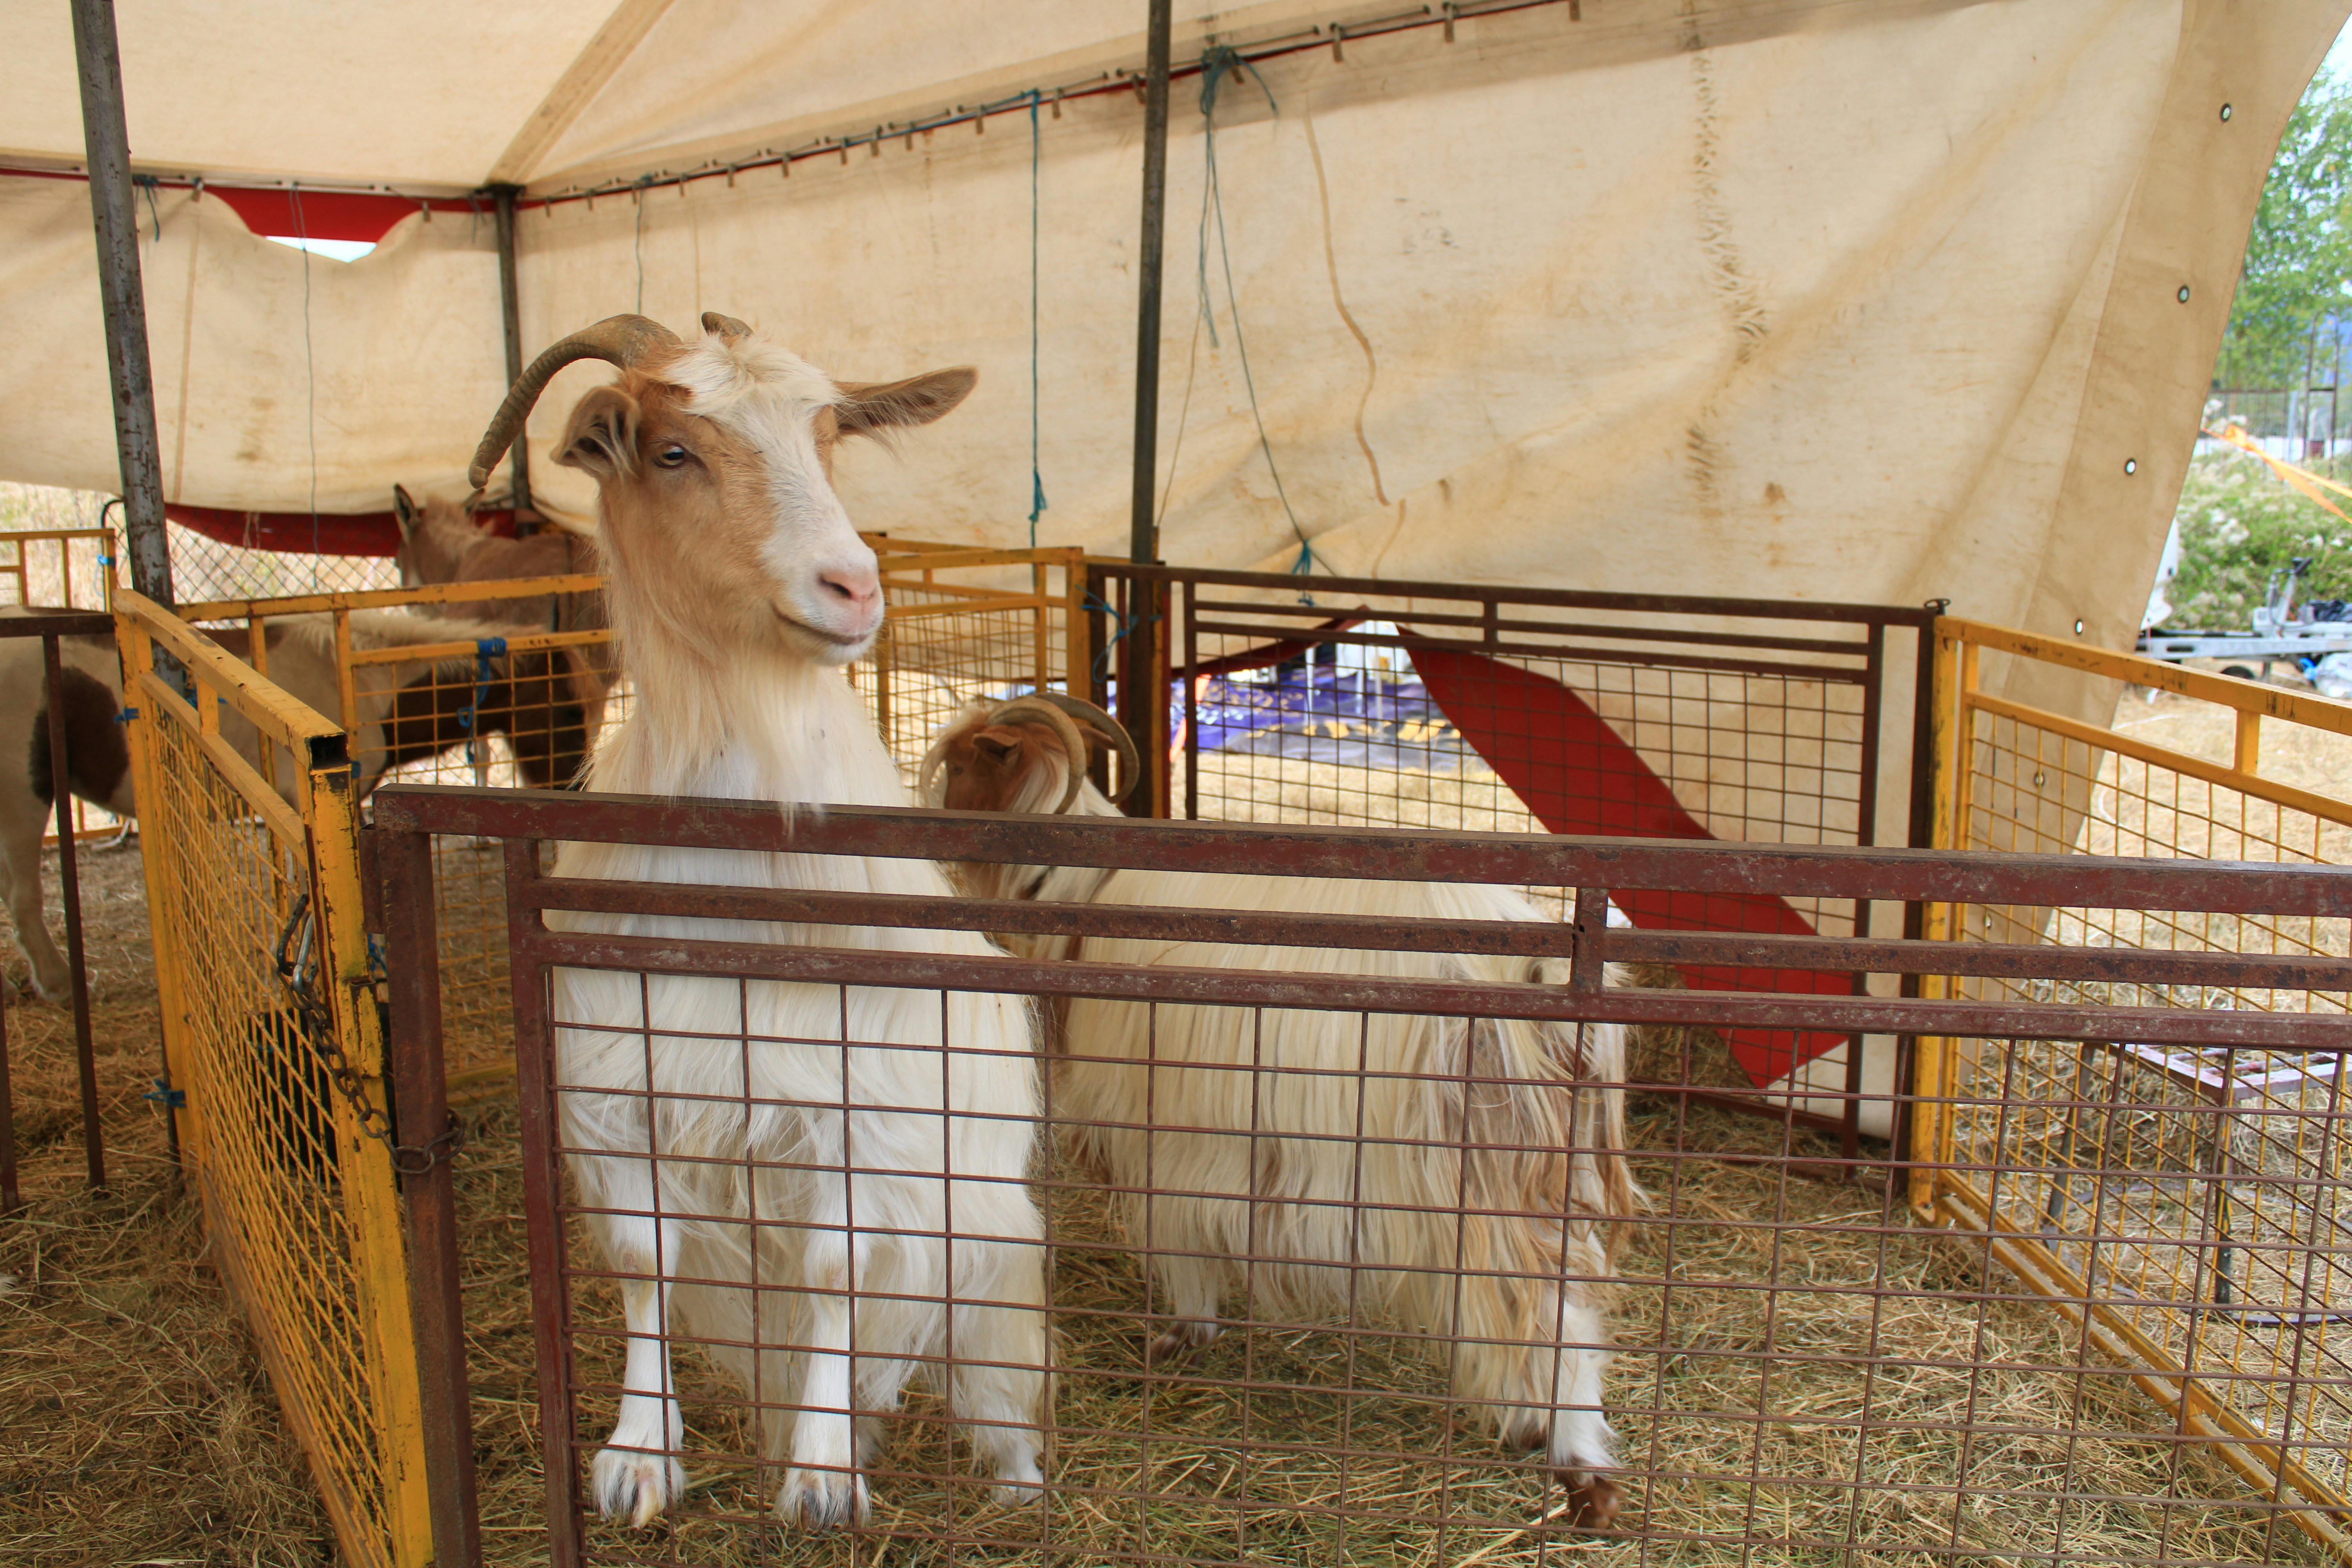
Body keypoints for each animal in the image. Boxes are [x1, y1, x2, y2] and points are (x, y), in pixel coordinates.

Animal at [464, 311, 1047, 1529]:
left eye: (828, 438)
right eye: (671, 451)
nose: (854, 588)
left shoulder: (851, 1113)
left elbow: (833, 1274)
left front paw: (822, 1477)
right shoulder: (619, 1091)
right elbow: (646, 1263)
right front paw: (638, 1456)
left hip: (988, 1228)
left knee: (991, 1355)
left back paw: (1018, 1481)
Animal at [924, 694, 1643, 1527]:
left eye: (967, 761)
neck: (1086, 898)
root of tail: (1533, 981)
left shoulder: (1158, 1127)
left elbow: (1179, 1239)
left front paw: (1183, 1334)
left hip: (1473, 1185)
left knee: (1547, 1312)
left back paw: (1579, 1471)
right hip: (1550, 1173)